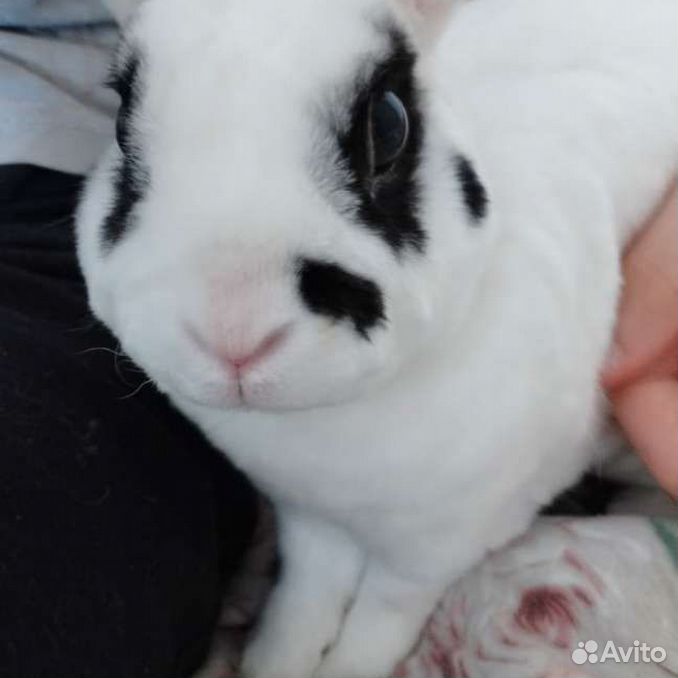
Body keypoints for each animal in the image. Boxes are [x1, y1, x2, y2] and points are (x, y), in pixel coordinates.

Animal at [76, 0, 678, 676]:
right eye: (121, 125)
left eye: (389, 125)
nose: (233, 333)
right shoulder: (309, 517)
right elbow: (307, 591)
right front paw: (273, 659)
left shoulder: (443, 543)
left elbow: (384, 613)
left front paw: (346, 666)